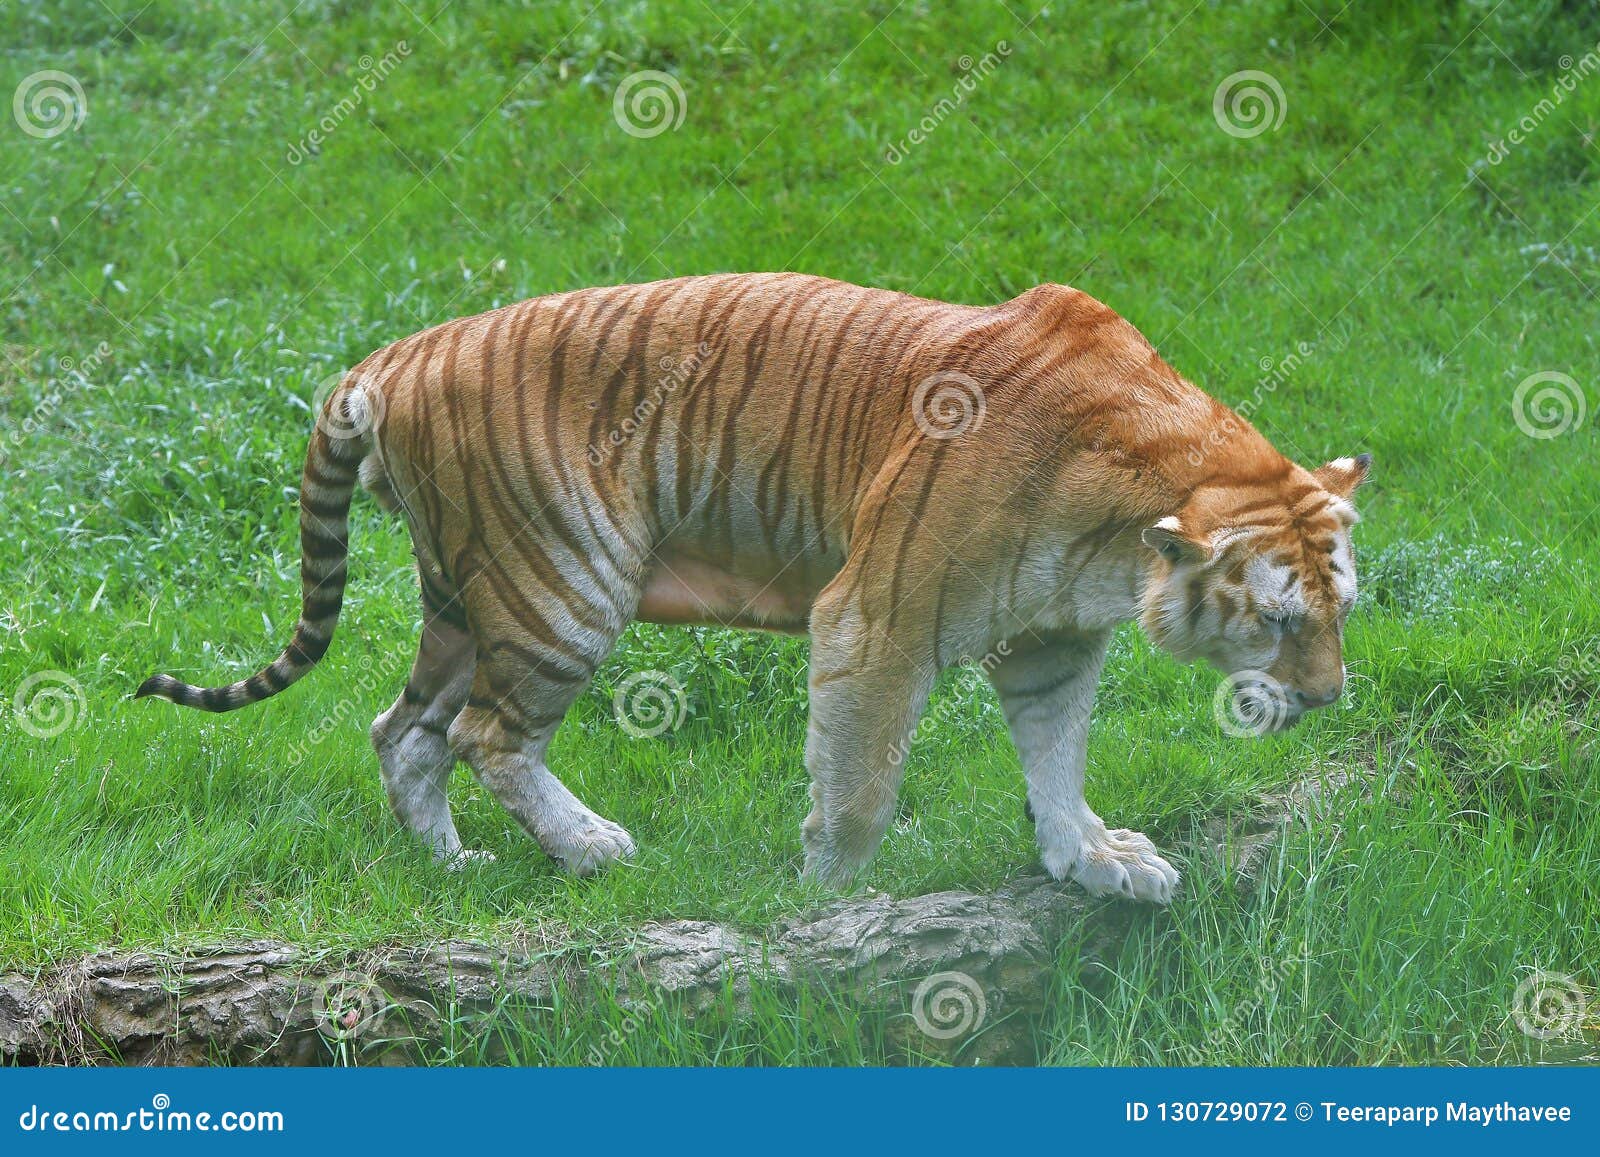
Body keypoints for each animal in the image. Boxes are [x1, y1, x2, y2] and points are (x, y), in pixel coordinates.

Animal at [137, 273, 1369, 904]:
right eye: (1276, 618)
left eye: (1341, 609)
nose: (1328, 698)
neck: (1124, 531)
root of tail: (383, 358)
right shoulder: (877, 616)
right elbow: (862, 783)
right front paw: (828, 898)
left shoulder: (1052, 644)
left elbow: (1058, 761)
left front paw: (1093, 859)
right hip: (563, 584)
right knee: (488, 734)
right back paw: (589, 847)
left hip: (467, 598)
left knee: (406, 731)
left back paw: (455, 862)